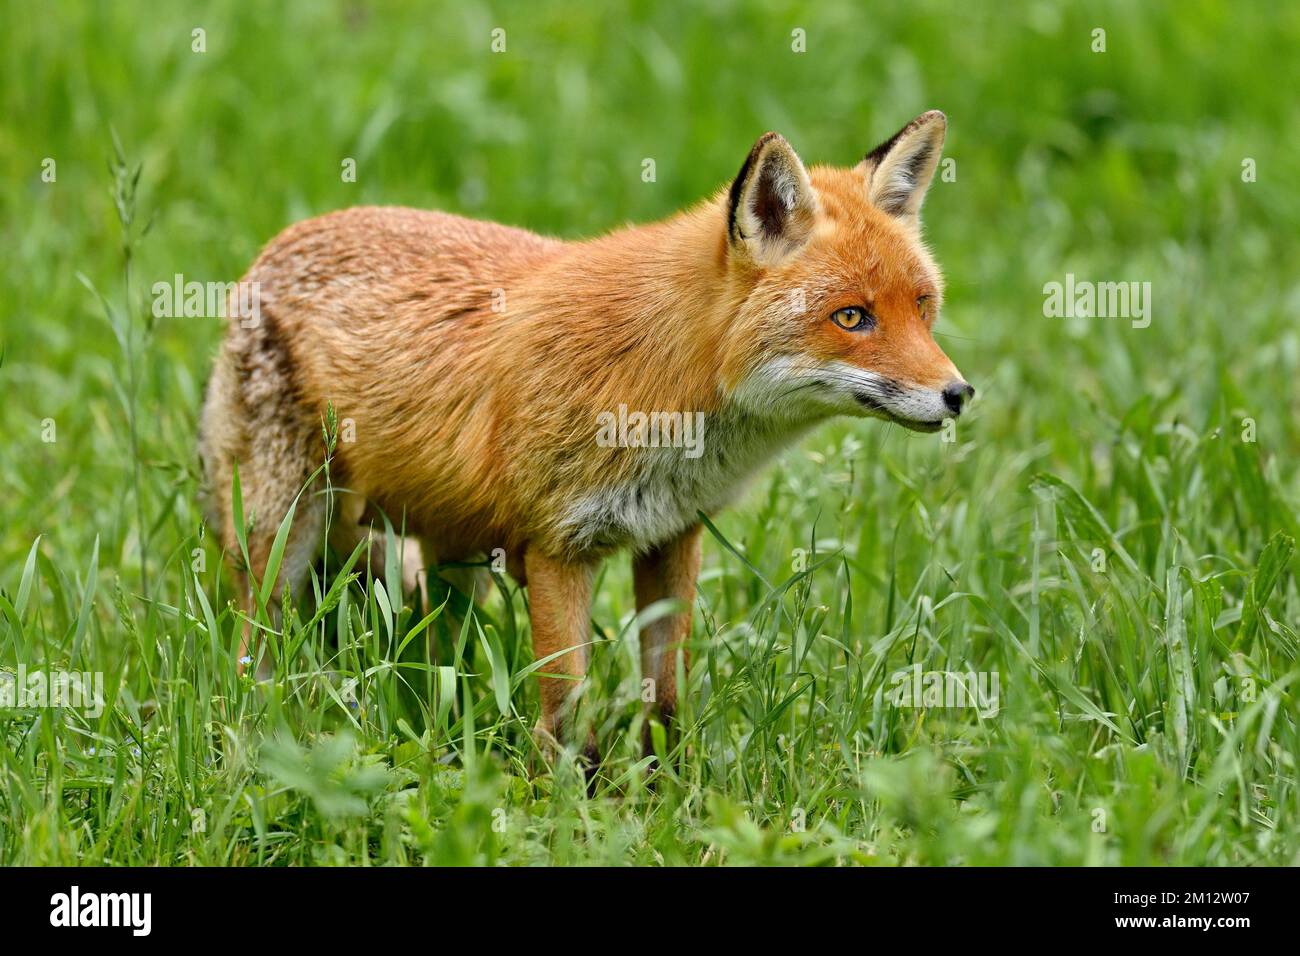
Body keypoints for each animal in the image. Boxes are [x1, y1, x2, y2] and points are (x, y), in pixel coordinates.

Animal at [199, 110, 972, 765]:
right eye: (852, 318)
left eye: (922, 307)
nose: (959, 394)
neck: (666, 382)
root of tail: (272, 249)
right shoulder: (557, 548)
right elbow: (568, 715)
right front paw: (579, 811)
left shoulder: (671, 535)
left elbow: (665, 700)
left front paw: (670, 796)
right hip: (285, 539)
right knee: (249, 654)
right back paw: (251, 744)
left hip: (451, 566)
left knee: (433, 656)